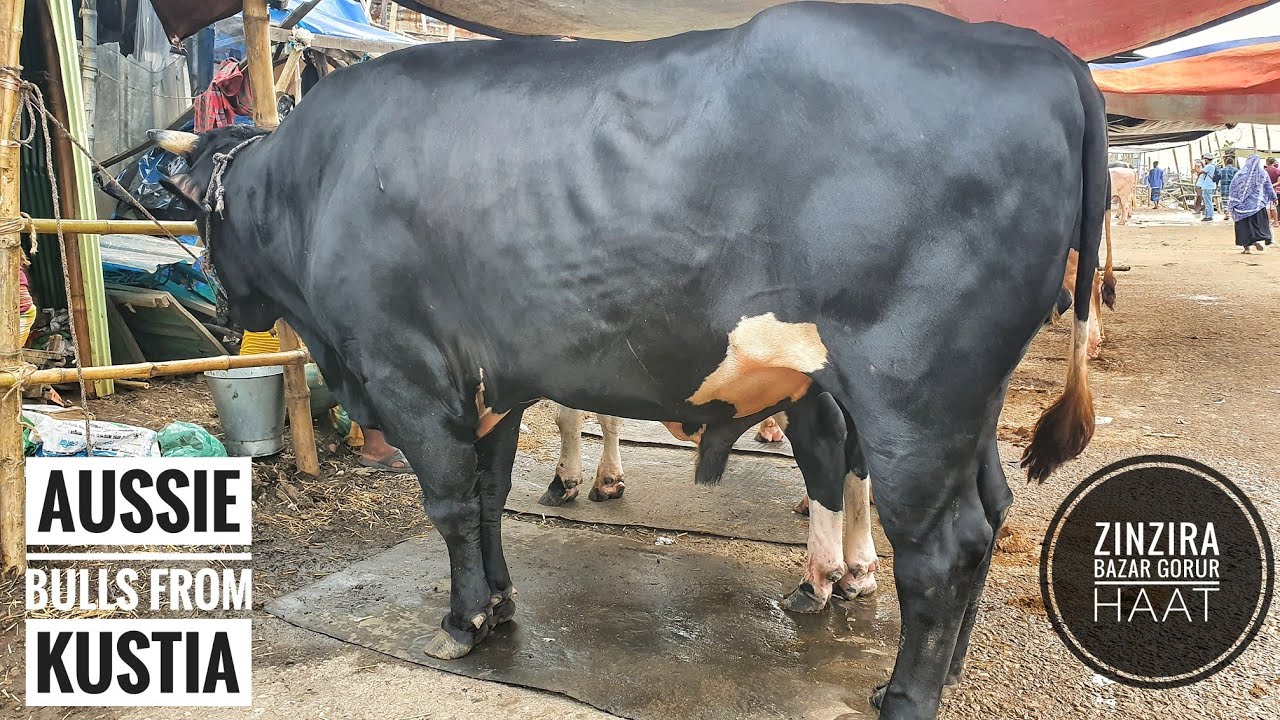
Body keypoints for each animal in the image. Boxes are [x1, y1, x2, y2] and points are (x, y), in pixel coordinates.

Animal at [150, 3, 1104, 716]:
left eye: (198, 213)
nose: (226, 306)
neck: (318, 184)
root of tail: (1039, 52)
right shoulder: (493, 384)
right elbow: (490, 497)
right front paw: (500, 603)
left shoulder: (407, 372)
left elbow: (451, 505)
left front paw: (461, 621)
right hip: (968, 405)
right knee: (990, 511)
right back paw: (945, 668)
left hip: (912, 396)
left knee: (941, 549)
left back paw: (904, 694)